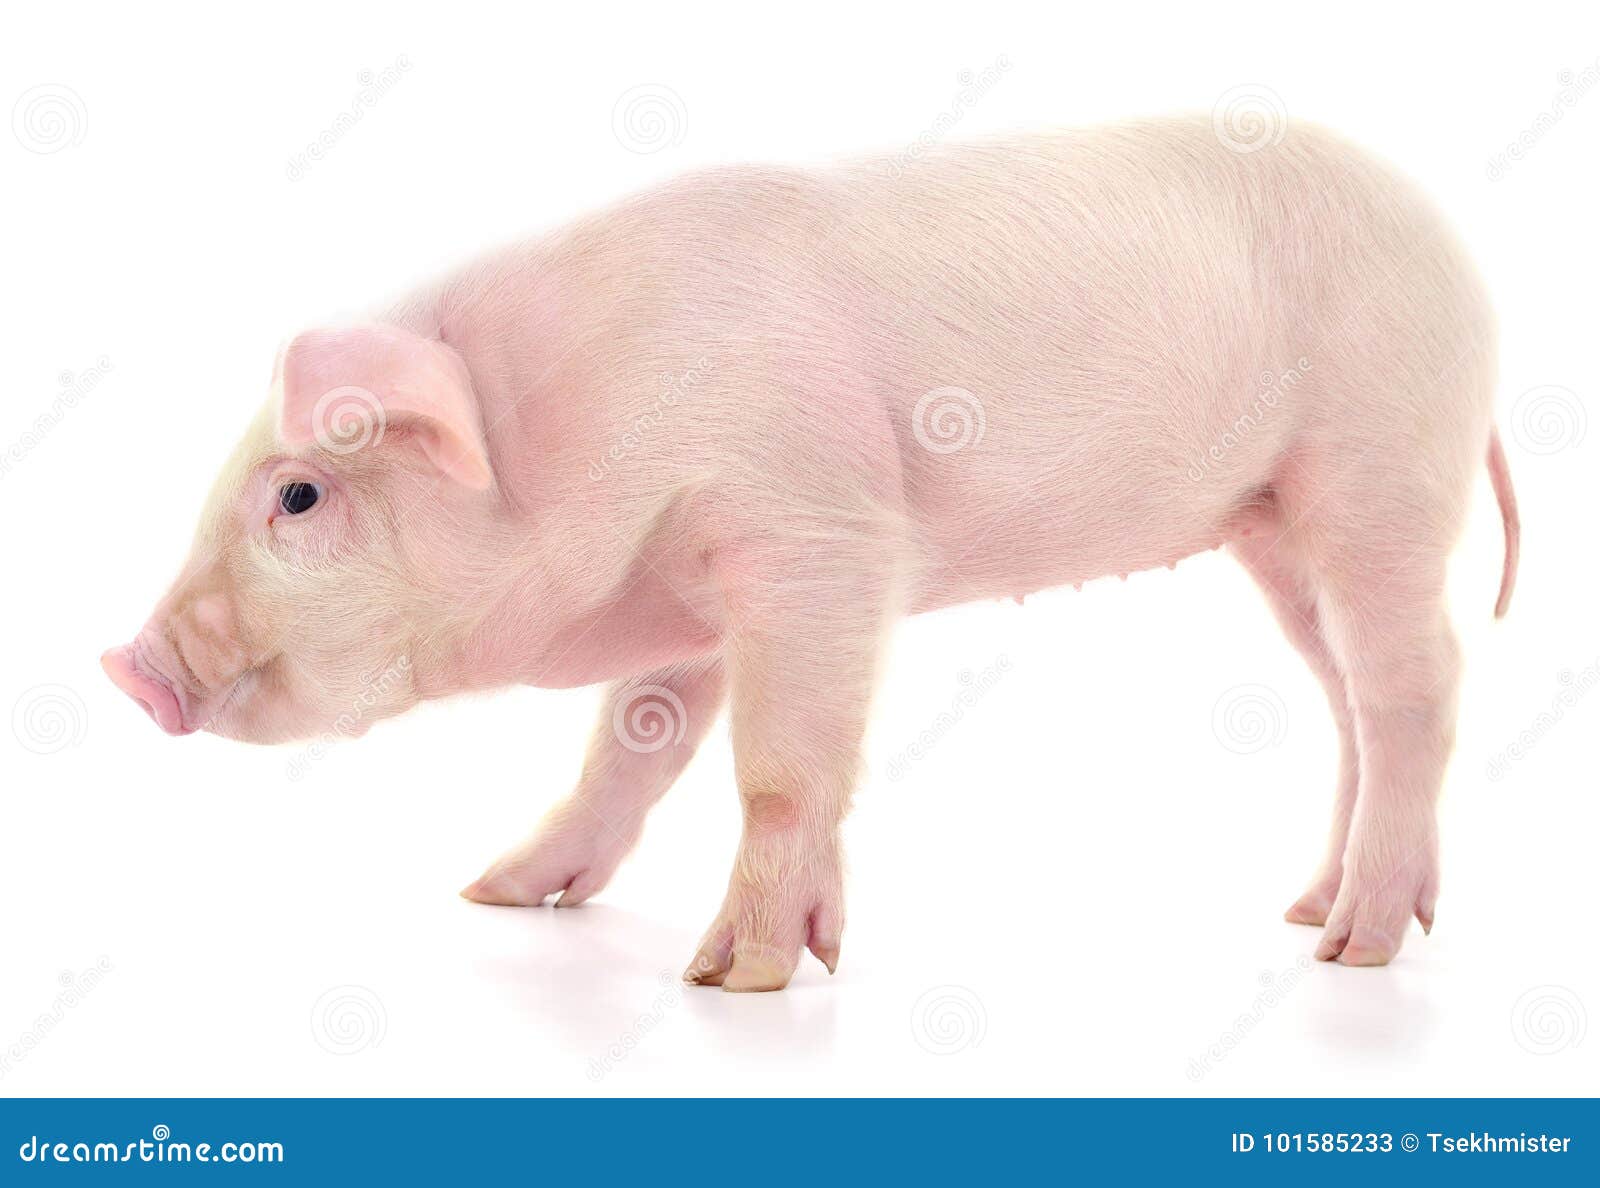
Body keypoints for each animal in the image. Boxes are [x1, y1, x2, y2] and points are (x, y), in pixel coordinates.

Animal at [103, 116, 1519, 990]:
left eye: (296, 495)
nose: (128, 668)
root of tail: (1459, 260)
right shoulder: (695, 590)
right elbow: (633, 746)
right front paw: (497, 896)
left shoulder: (818, 534)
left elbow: (781, 766)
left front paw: (734, 979)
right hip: (1273, 527)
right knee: (1345, 695)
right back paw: (1312, 912)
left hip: (1380, 469)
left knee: (1418, 685)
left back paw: (1353, 949)